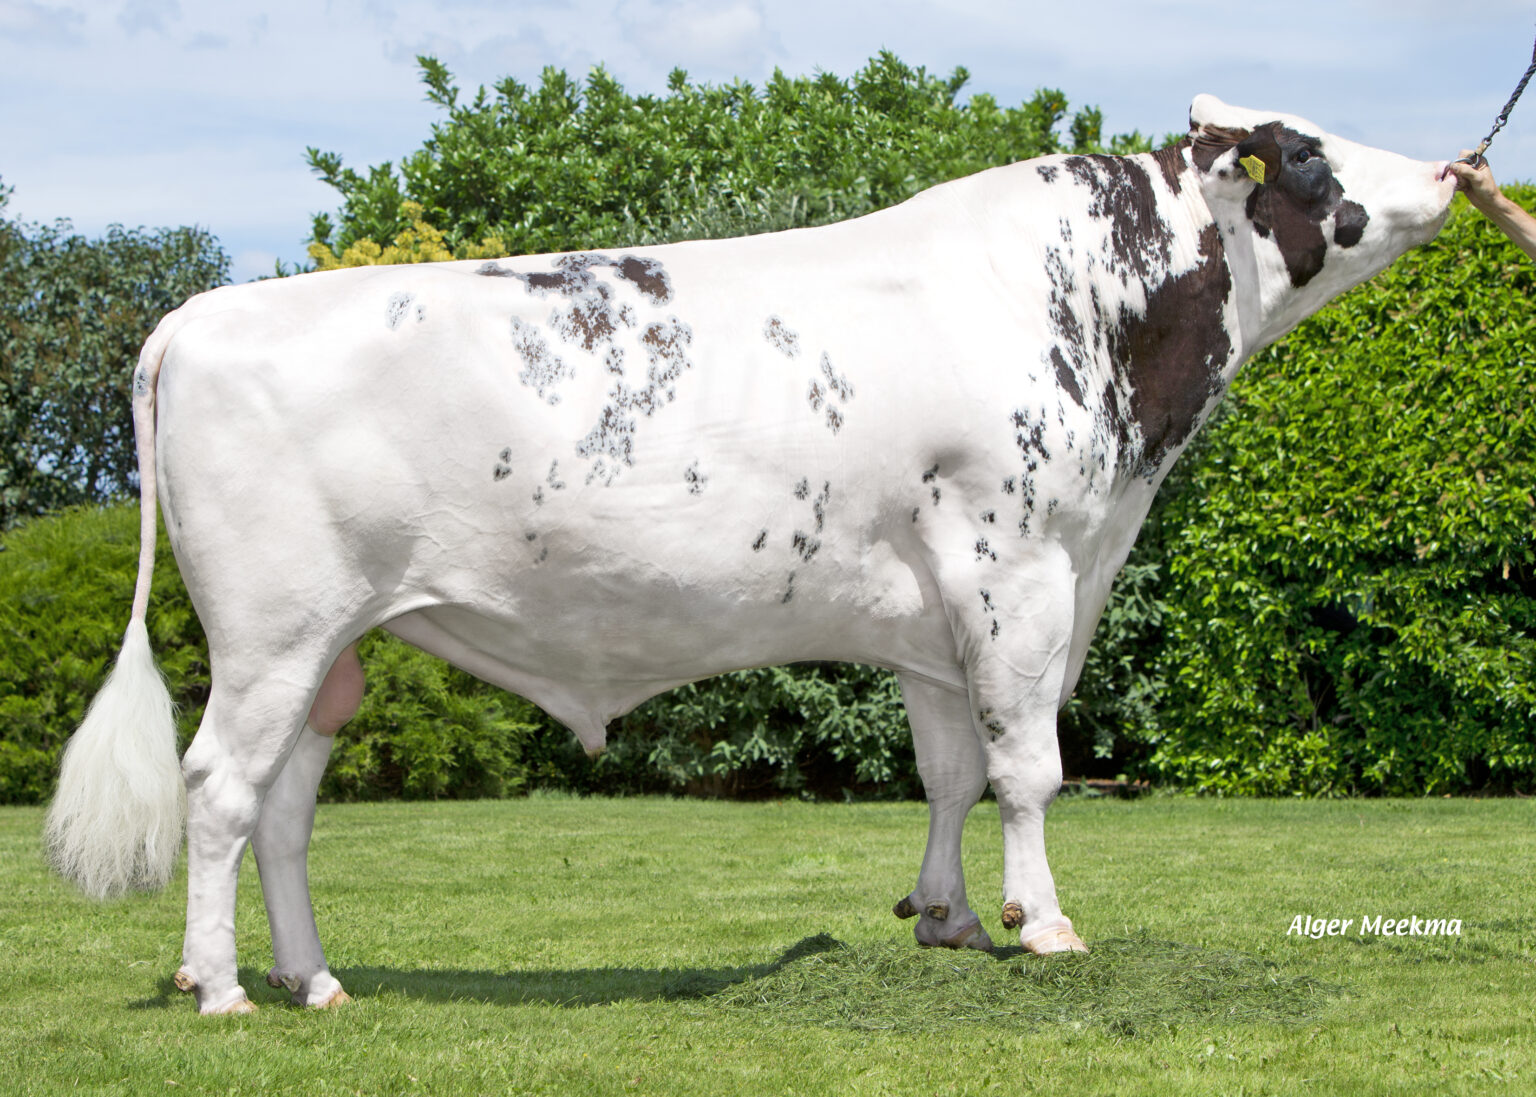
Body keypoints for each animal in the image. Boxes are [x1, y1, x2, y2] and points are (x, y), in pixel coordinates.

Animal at [45, 95, 1457, 1013]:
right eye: (1306, 154)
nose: (1451, 171)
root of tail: (201, 312)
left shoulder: (937, 619)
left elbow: (950, 770)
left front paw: (945, 918)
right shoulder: (1017, 569)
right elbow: (1028, 767)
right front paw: (1044, 925)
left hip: (339, 640)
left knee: (283, 806)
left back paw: (315, 978)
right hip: (272, 629)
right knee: (221, 790)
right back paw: (221, 987)